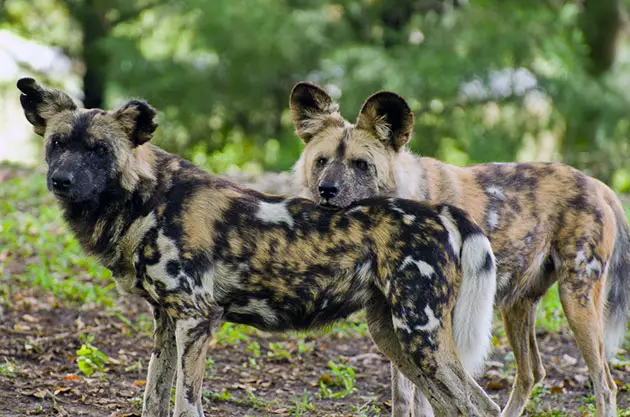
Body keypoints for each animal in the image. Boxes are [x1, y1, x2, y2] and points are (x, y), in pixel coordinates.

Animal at [17, 76, 506, 414]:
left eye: (99, 150)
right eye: (57, 144)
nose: (61, 180)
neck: (146, 200)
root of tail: (440, 211)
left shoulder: (196, 320)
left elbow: (185, 404)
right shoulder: (166, 323)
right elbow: (153, 400)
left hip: (421, 336)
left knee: (481, 405)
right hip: (395, 339)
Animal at [292, 82, 630, 416]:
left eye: (361, 165)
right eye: (321, 161)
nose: (327, 190)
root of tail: (596, 184)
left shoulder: (428, 326)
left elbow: (425, 399)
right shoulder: (394, 324)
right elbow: (403, 398)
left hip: (576, 299)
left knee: (604, 383)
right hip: (516, 305)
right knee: (531, 373)